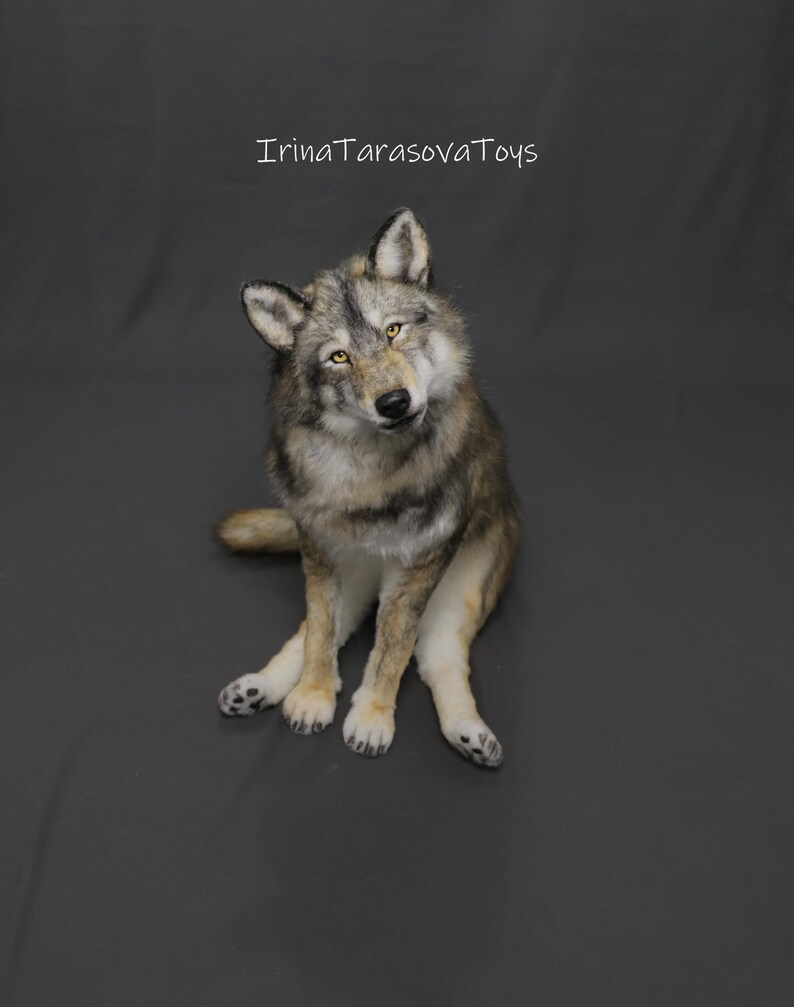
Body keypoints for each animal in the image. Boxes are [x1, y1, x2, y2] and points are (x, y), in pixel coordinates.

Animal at [216, 208, 519, 766]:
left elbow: (391, 653)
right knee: (312, 635)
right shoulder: (319, 556)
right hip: (350, 581)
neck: (370, 477)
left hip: (454, 600)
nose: (395, 403)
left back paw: (470, 734)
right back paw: (257, 688)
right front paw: (312, 698)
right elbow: (318, 639)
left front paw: (373, 719)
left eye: (393, 331)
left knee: (439, 660)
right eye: (339, 357)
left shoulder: (417, 569)